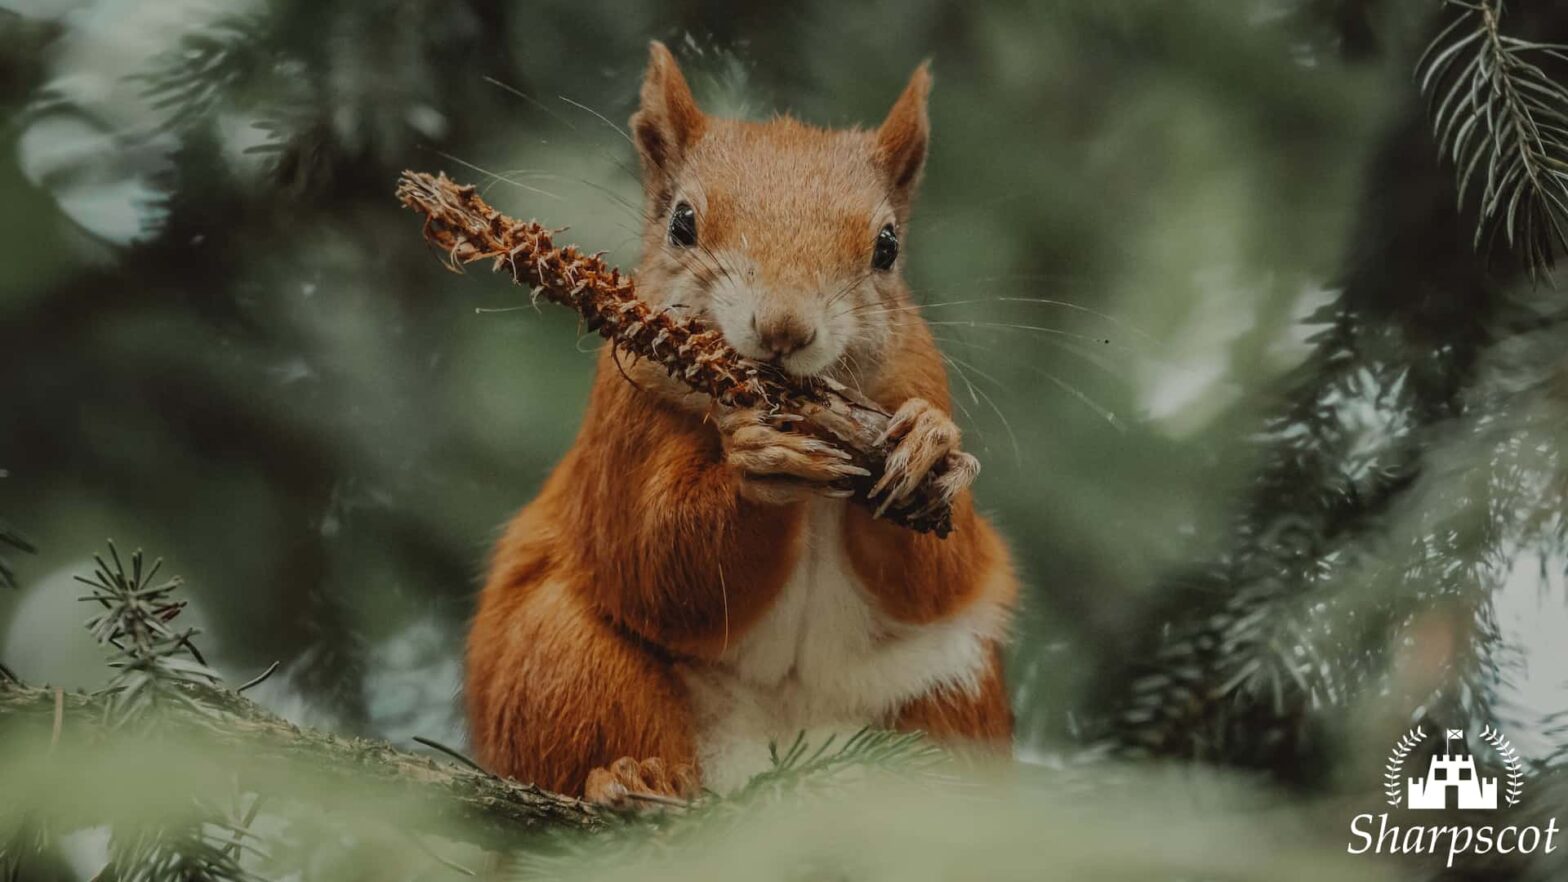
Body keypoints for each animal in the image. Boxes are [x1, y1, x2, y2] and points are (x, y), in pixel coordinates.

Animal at [465, 42, 1017, 804]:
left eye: (887, 246)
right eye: (682, 223)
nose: (784, 327)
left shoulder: (920, 376)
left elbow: (938, 572)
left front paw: (929, 446)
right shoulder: (625, 424)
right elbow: (662, 557)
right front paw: (758, 463)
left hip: (953, 693)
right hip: (560, 660)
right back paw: (631, 778)